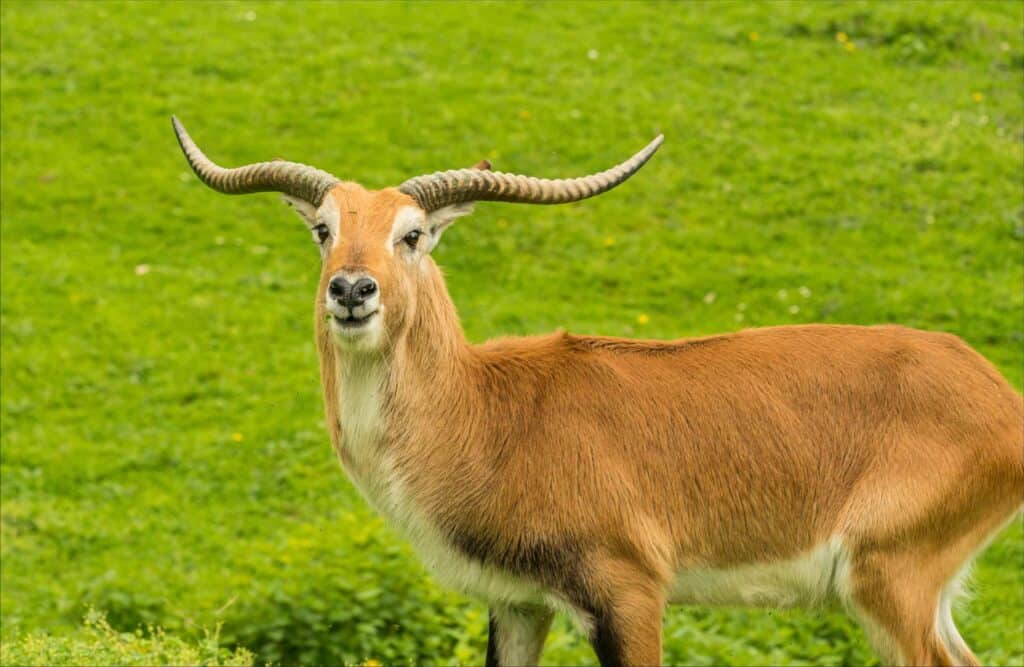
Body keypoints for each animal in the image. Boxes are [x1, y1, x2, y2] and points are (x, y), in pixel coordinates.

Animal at [173, 116, 1023, 667]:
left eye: (412, 233)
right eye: (324, 227)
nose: (352, 289)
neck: (486, 418)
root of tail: (998, 393)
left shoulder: (630, 591)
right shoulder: (516, 601)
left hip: (888, 582)